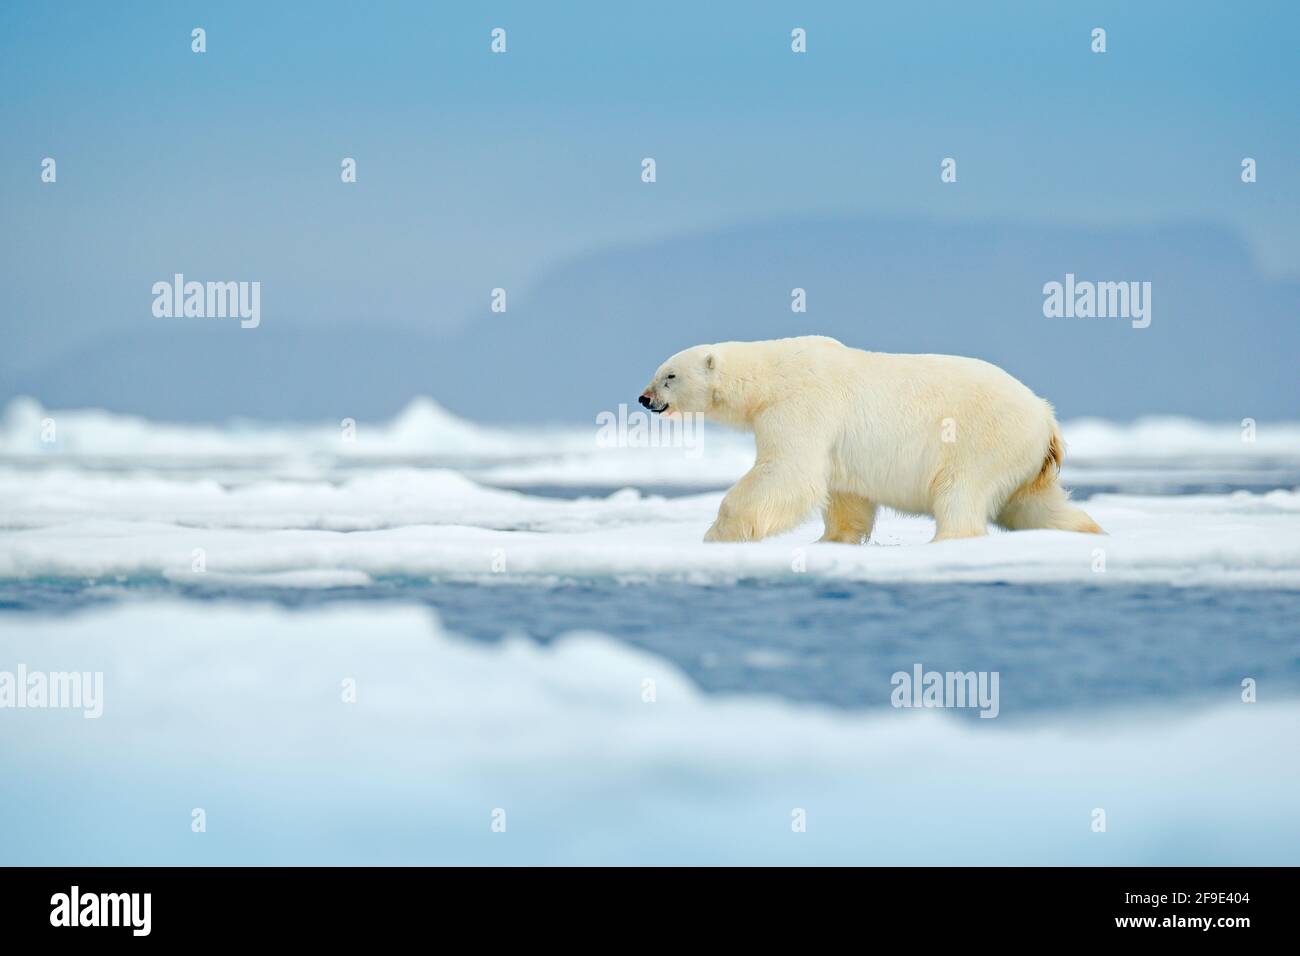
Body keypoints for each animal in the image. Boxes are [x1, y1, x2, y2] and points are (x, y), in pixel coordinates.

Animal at [637, 336, 1103, 543]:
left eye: (669, 375)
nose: (644, 398)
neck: (770, 375)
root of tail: (1047, 417)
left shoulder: (801, 405)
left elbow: (788, 471)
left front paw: (718, 534)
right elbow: (846, 495)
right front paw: (832, 540)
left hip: (985, 439)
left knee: (960, 491)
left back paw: (948, 540)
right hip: (1025, 460)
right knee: (1034, 505)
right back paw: (1087, 530)